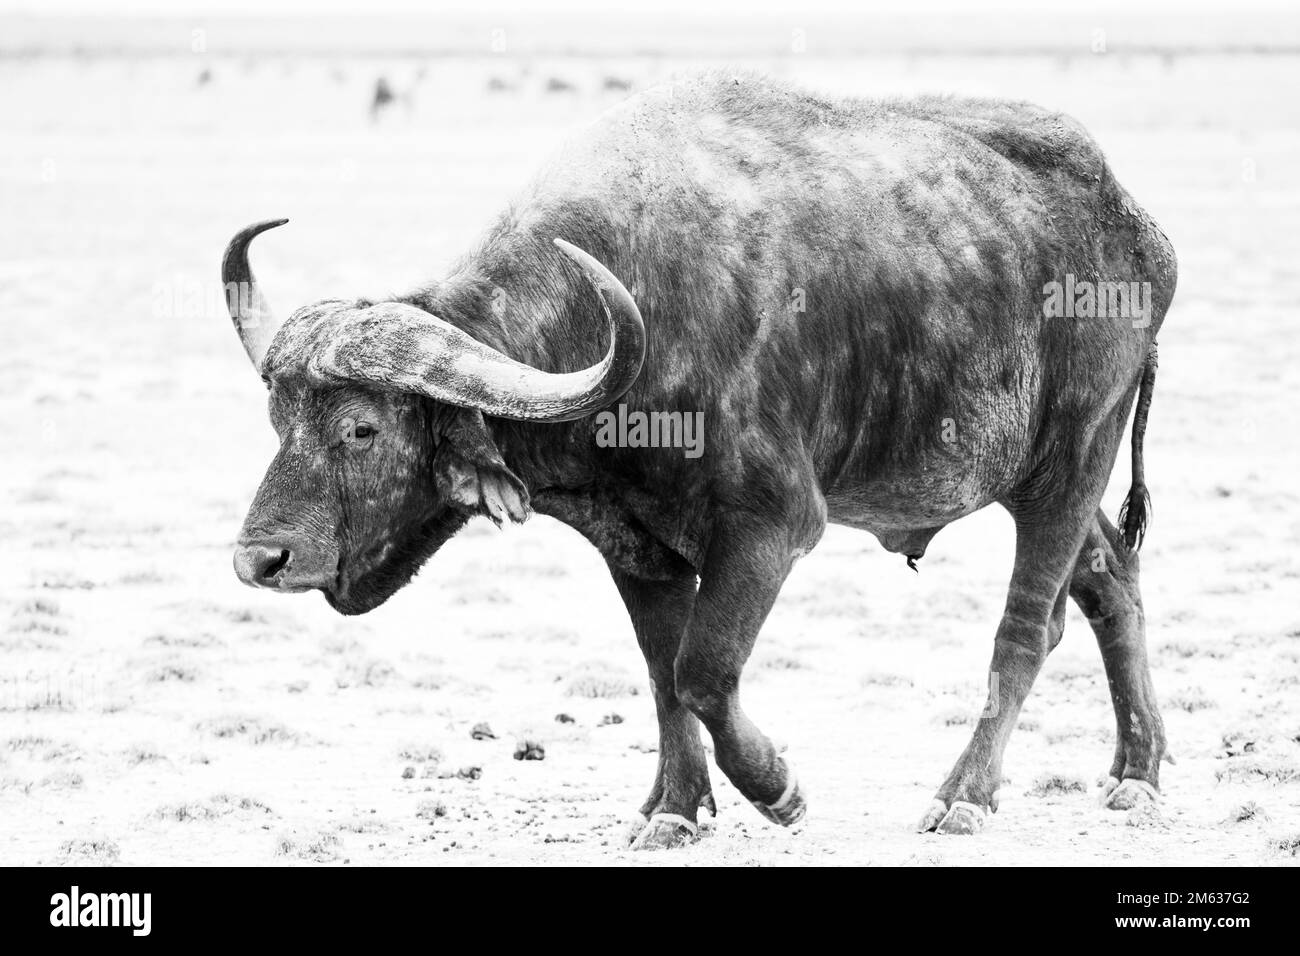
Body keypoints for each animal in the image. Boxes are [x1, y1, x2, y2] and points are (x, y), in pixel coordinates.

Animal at [223, 72, 1176, 849]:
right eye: (277, 418)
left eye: (360, 429)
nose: (260, 559)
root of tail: (1142, 237)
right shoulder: (636, 547)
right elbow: (661, 674)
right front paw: (676, 808)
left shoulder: (772, 529)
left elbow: (704, 670)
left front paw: (778, 790)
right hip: (1035, 480)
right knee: (1110, 579)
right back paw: (1138, 772)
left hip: (1072, 460)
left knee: (1027, 630)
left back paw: (966, 796)